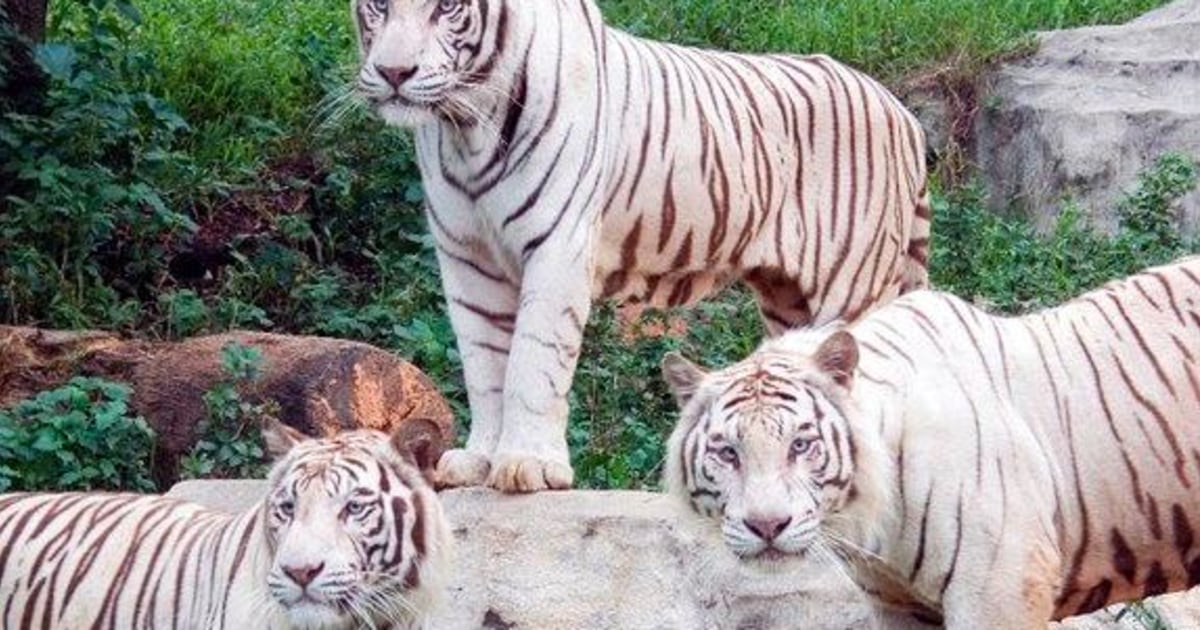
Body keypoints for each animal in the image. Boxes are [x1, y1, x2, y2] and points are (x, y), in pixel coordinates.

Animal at [351, 0, 931, 493]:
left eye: (447, 7)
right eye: (379, 5)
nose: (395, 73)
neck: (466, 124)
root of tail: (901, 112)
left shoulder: (556, 246)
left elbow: (532, 361)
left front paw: (528, 464)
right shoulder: (466, 258)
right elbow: (485, 362)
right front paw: (480, 459)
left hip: (852, 285)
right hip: (789, 300)